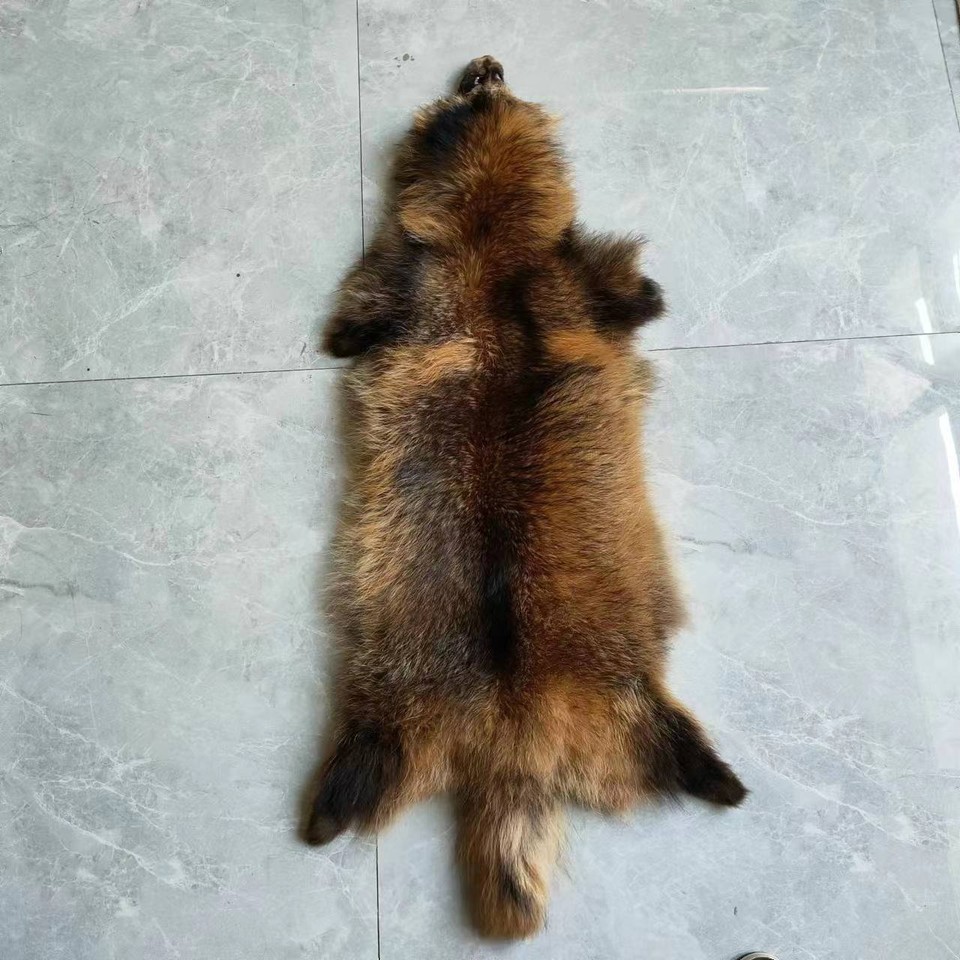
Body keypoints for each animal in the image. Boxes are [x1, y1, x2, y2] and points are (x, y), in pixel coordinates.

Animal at [305, 55, 746, 940]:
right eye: (480, 91)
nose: (486, 59)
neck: (491, 238)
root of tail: (510, 737)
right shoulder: (419, 271)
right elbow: (632, 290)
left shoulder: (423, 270)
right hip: (564, 704)